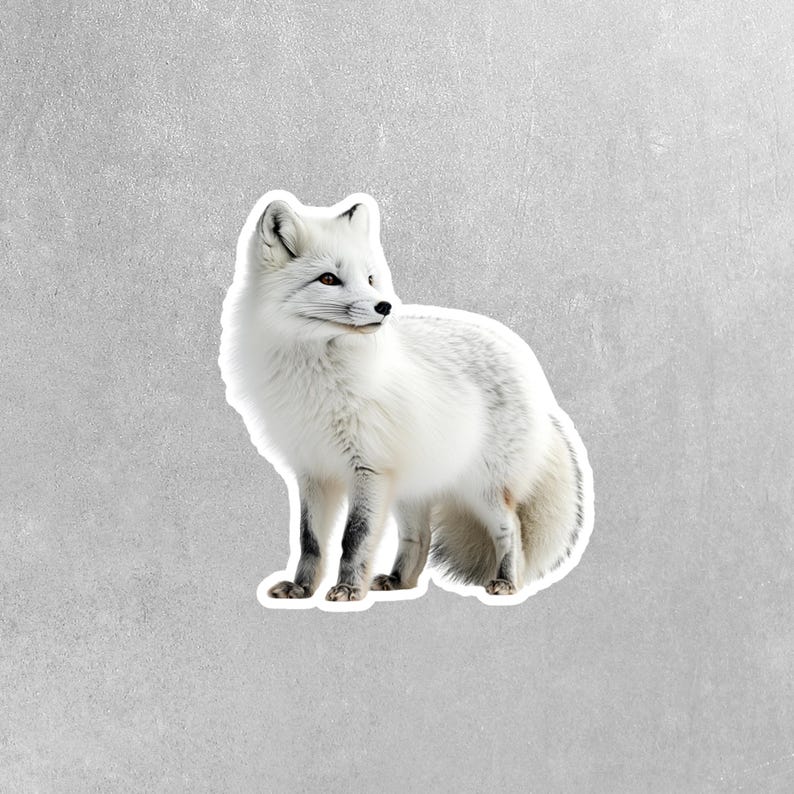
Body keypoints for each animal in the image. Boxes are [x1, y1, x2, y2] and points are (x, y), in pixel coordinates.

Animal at [219, 191, 593, 608]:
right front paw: (302, 589)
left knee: (511, 529)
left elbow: (354, 538)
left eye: (370, 278)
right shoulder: (312, 470)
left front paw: (348, 590)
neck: (317, 375)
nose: (384, 306)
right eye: (329, 279)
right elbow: (310, 540)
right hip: (409, 489)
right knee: (420, 536)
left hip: (484, 489)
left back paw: (506, 582)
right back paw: (399, 582)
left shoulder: (368, 468)